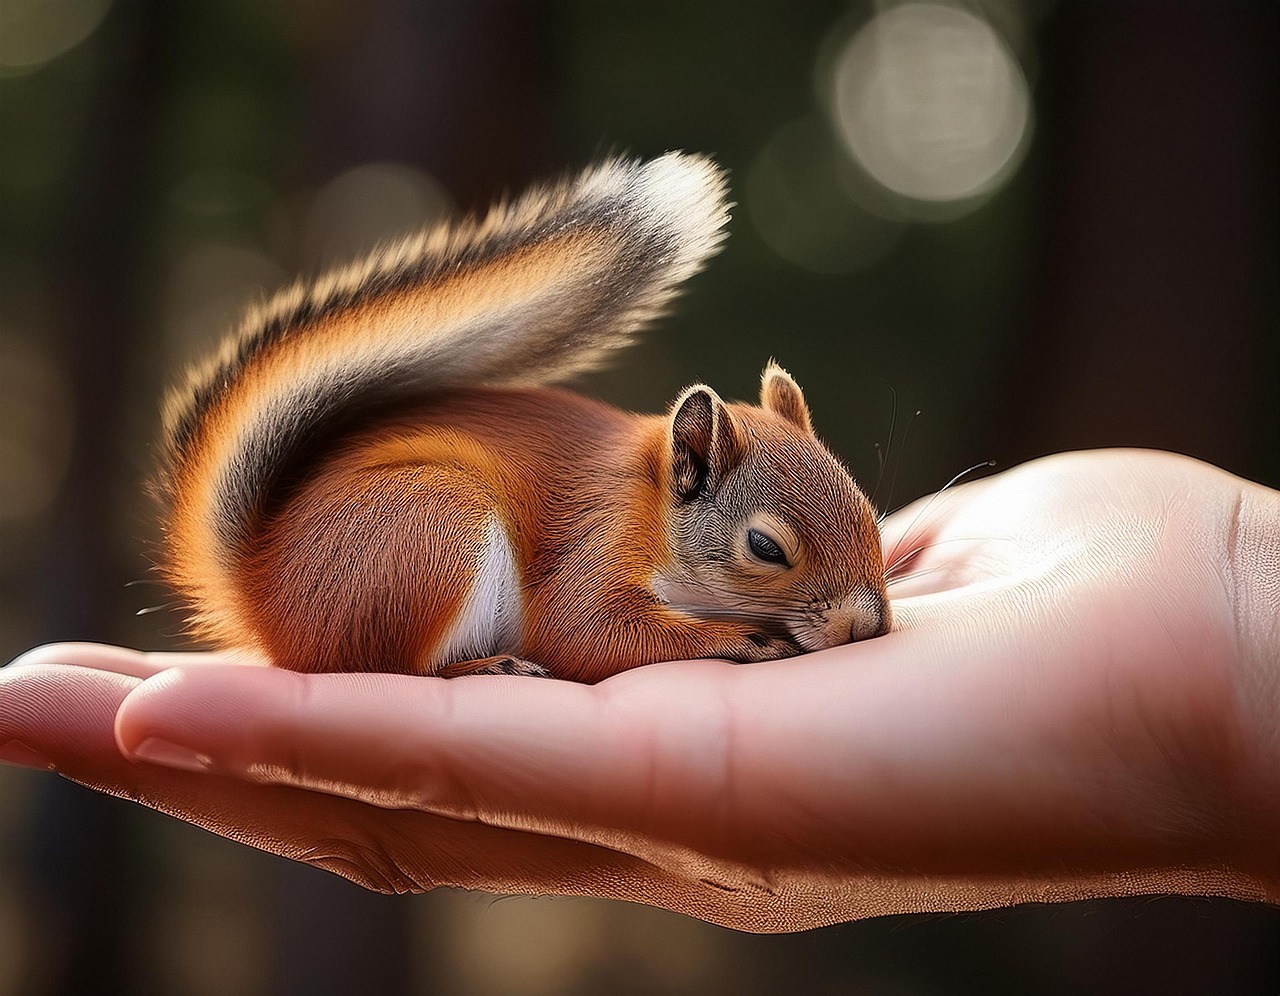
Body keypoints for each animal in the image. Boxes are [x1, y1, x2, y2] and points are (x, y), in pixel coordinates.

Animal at [156, 152, 890, 683]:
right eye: (766, 548)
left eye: (869, 512)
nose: (866, 628)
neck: (654, 502)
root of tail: (264, 594)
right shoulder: (600, 537)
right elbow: (584, 631)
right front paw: (746, 636)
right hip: (430, 530)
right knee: (393, 665)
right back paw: (488, 663)